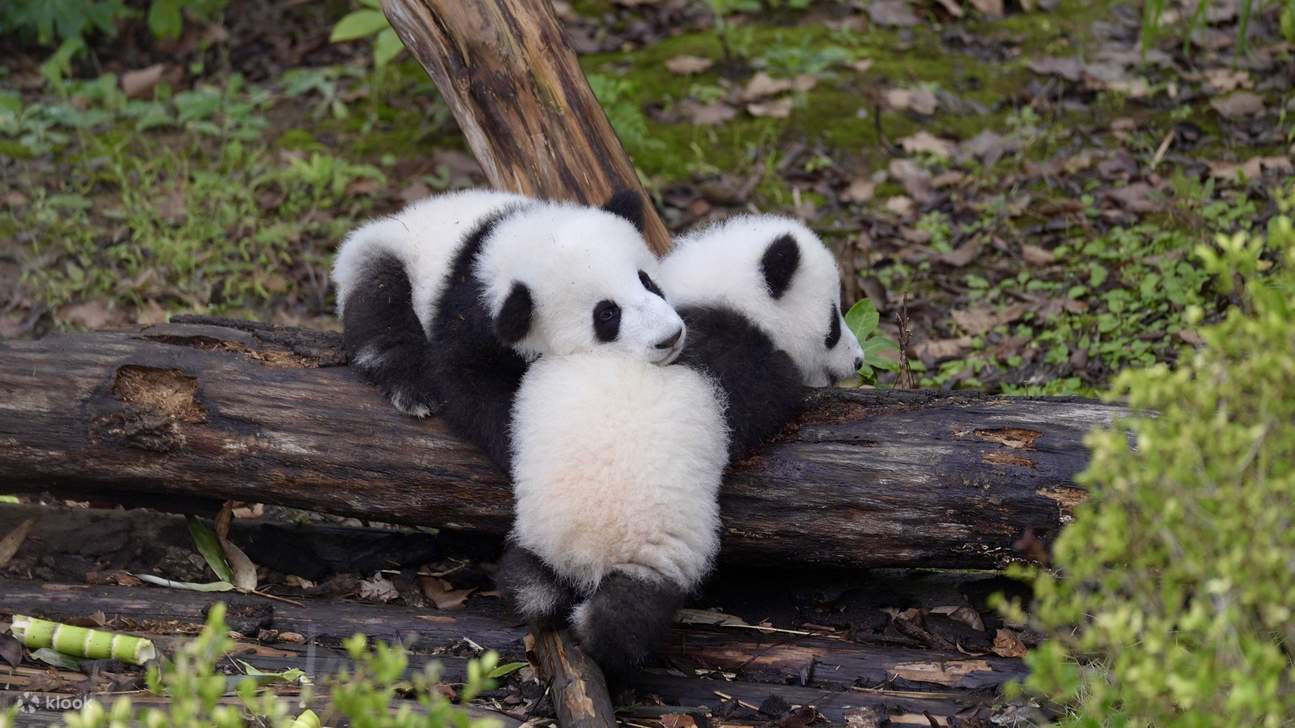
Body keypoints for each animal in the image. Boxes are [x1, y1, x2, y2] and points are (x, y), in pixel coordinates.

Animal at [332, 189, 686, 470]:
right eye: (608, 314)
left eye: (646, 280)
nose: (670, 337)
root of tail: (390, 220)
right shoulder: (470, 313)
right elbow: (465, 382)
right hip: (387, 255)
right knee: (381, 306)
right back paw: (411, 388)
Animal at [496, 215, 866, 681]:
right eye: (833, 326)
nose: (859, 360)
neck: (711, 293)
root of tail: (582, 556)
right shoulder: (729, 356)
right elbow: (767, 394)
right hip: (648, 553)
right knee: (628, 613)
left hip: (536, 531)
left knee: (525, 582)